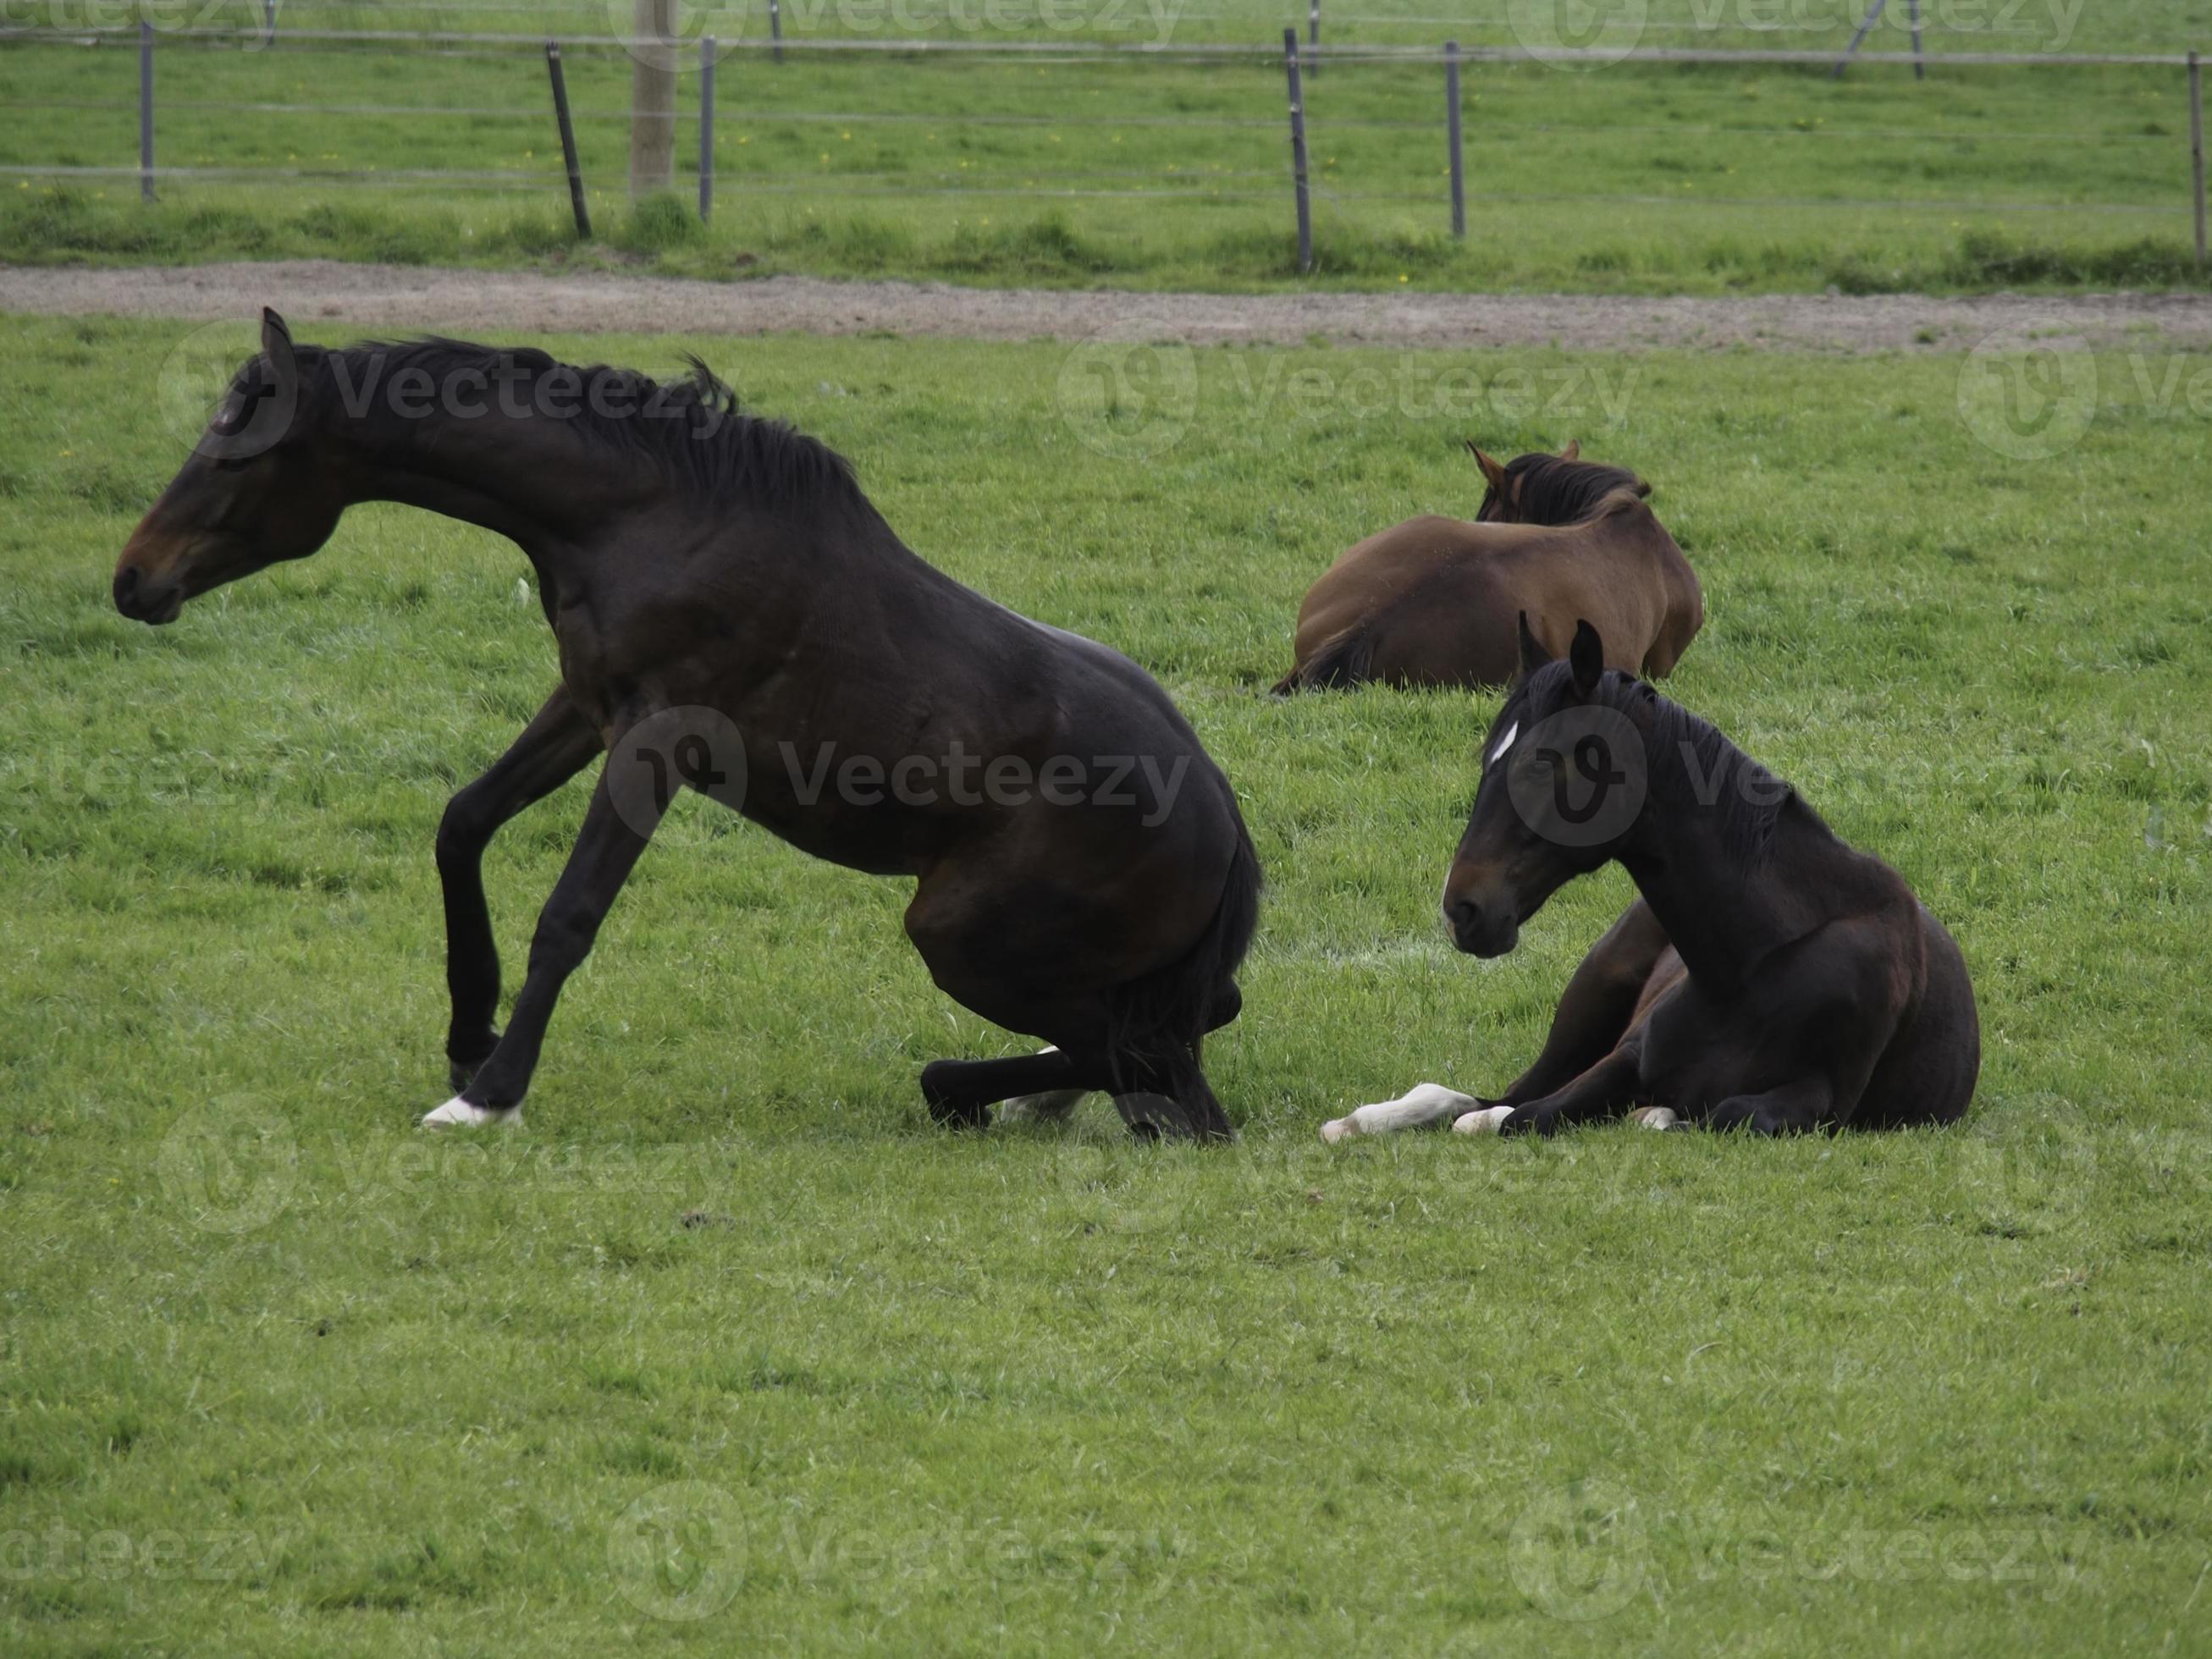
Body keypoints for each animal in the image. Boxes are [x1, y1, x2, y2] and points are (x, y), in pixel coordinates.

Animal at [113, 310, 1259, 1140]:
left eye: (230, 456)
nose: (133, 582)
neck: (651, 520)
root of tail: (1225, 832)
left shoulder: (657, 739)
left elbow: (570, 915)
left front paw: (487, 1092)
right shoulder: (586, 706)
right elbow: (463, 821)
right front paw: (467, 1028)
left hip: (954, 937)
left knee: (1172, 1067)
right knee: (1172, 1039)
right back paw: (1030, 1095)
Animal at [1319, 616, 1979, 1140]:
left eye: (1543, 764)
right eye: (1488, 758)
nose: (1463, 911)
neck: (1754, 963)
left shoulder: (1823, 1101)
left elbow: (1724, 1112)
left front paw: (1657, 1114)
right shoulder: (1626, 1057)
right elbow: (1525, 1113)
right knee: (1498, 1095)